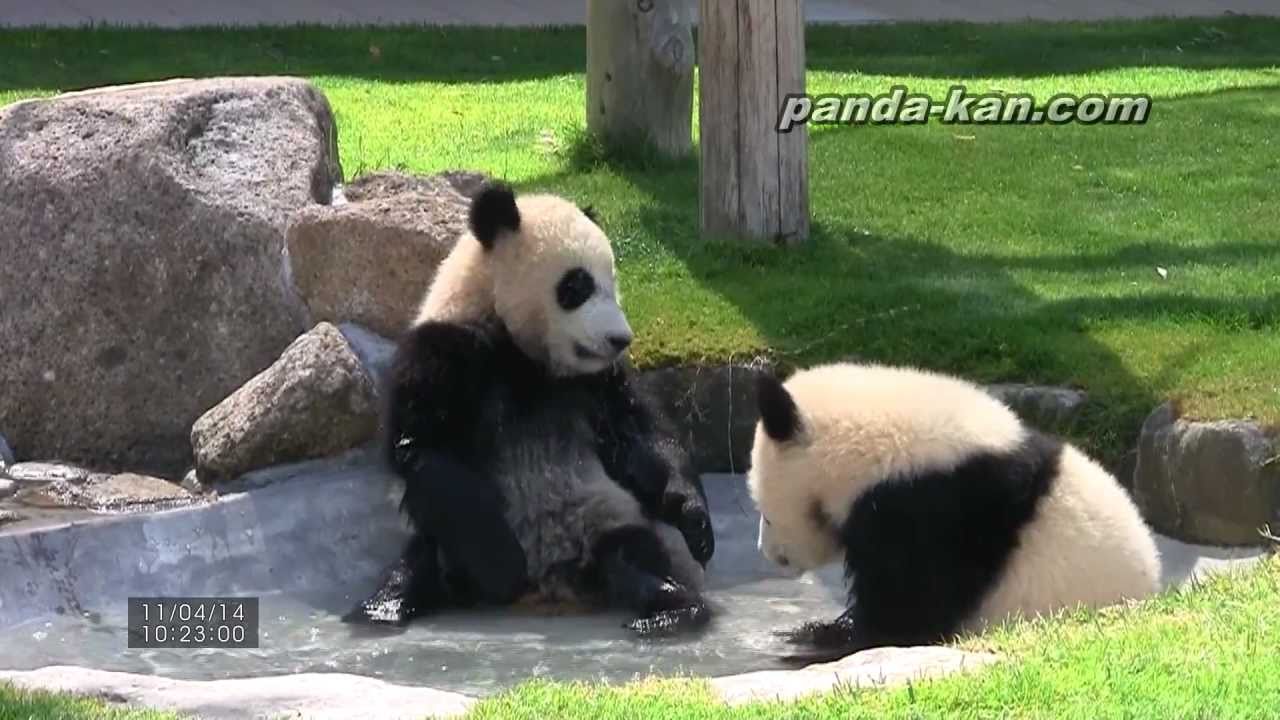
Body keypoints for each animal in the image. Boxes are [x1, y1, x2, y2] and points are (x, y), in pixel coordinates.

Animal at [343, 182, 715, 637]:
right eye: (577, 285)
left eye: (612, 283)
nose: (620, 339)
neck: (525, 355)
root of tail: (552, 582)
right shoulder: (446, 351)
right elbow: (420, 446)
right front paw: (501, 564)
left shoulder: (595, 381)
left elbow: (637, 439)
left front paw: (695, 523)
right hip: (445, 537)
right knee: (416, 562)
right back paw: (383, 609)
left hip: (604, 516)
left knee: (636, 553)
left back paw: (670, 608)